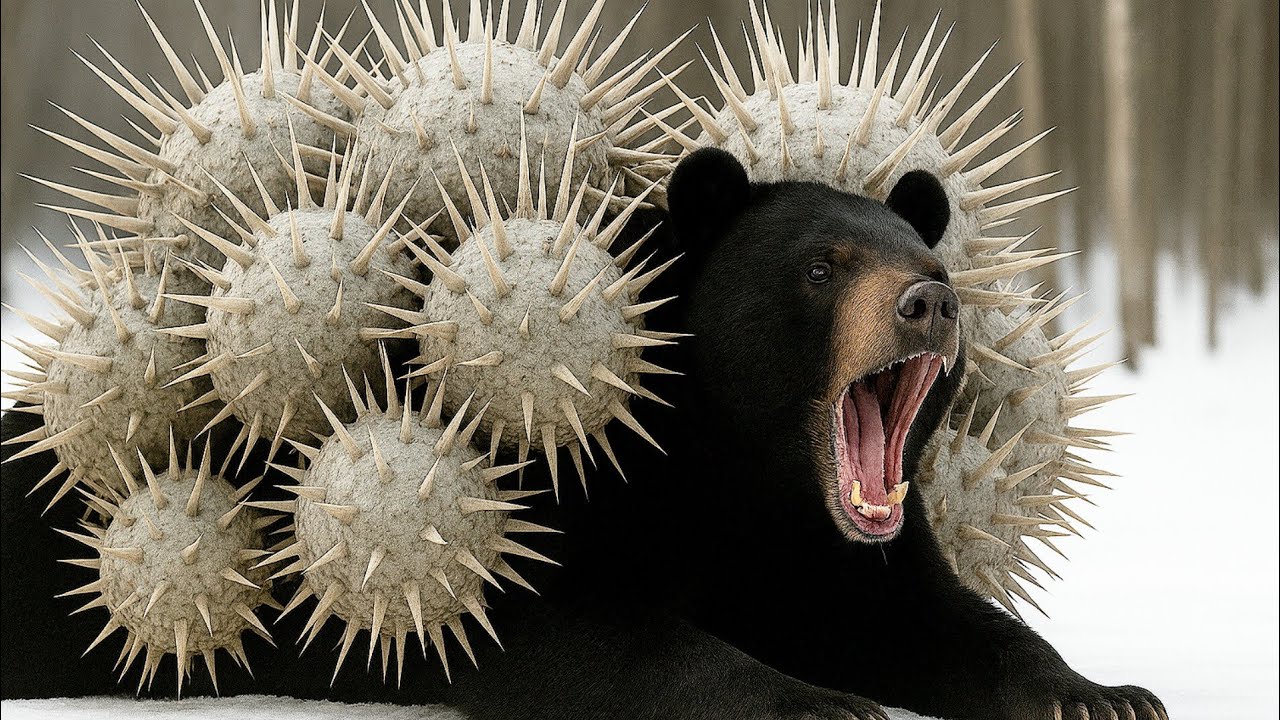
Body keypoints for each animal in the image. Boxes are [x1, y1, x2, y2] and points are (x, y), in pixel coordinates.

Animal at [1, 147, 1167, 720]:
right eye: (822, 264)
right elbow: (582, 634)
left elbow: (942, 622)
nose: (930, 303)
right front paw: (815, 705)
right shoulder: (534, 488)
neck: (752, 474)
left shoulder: (846, 554)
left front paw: (1104, 698)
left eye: (925, 260)